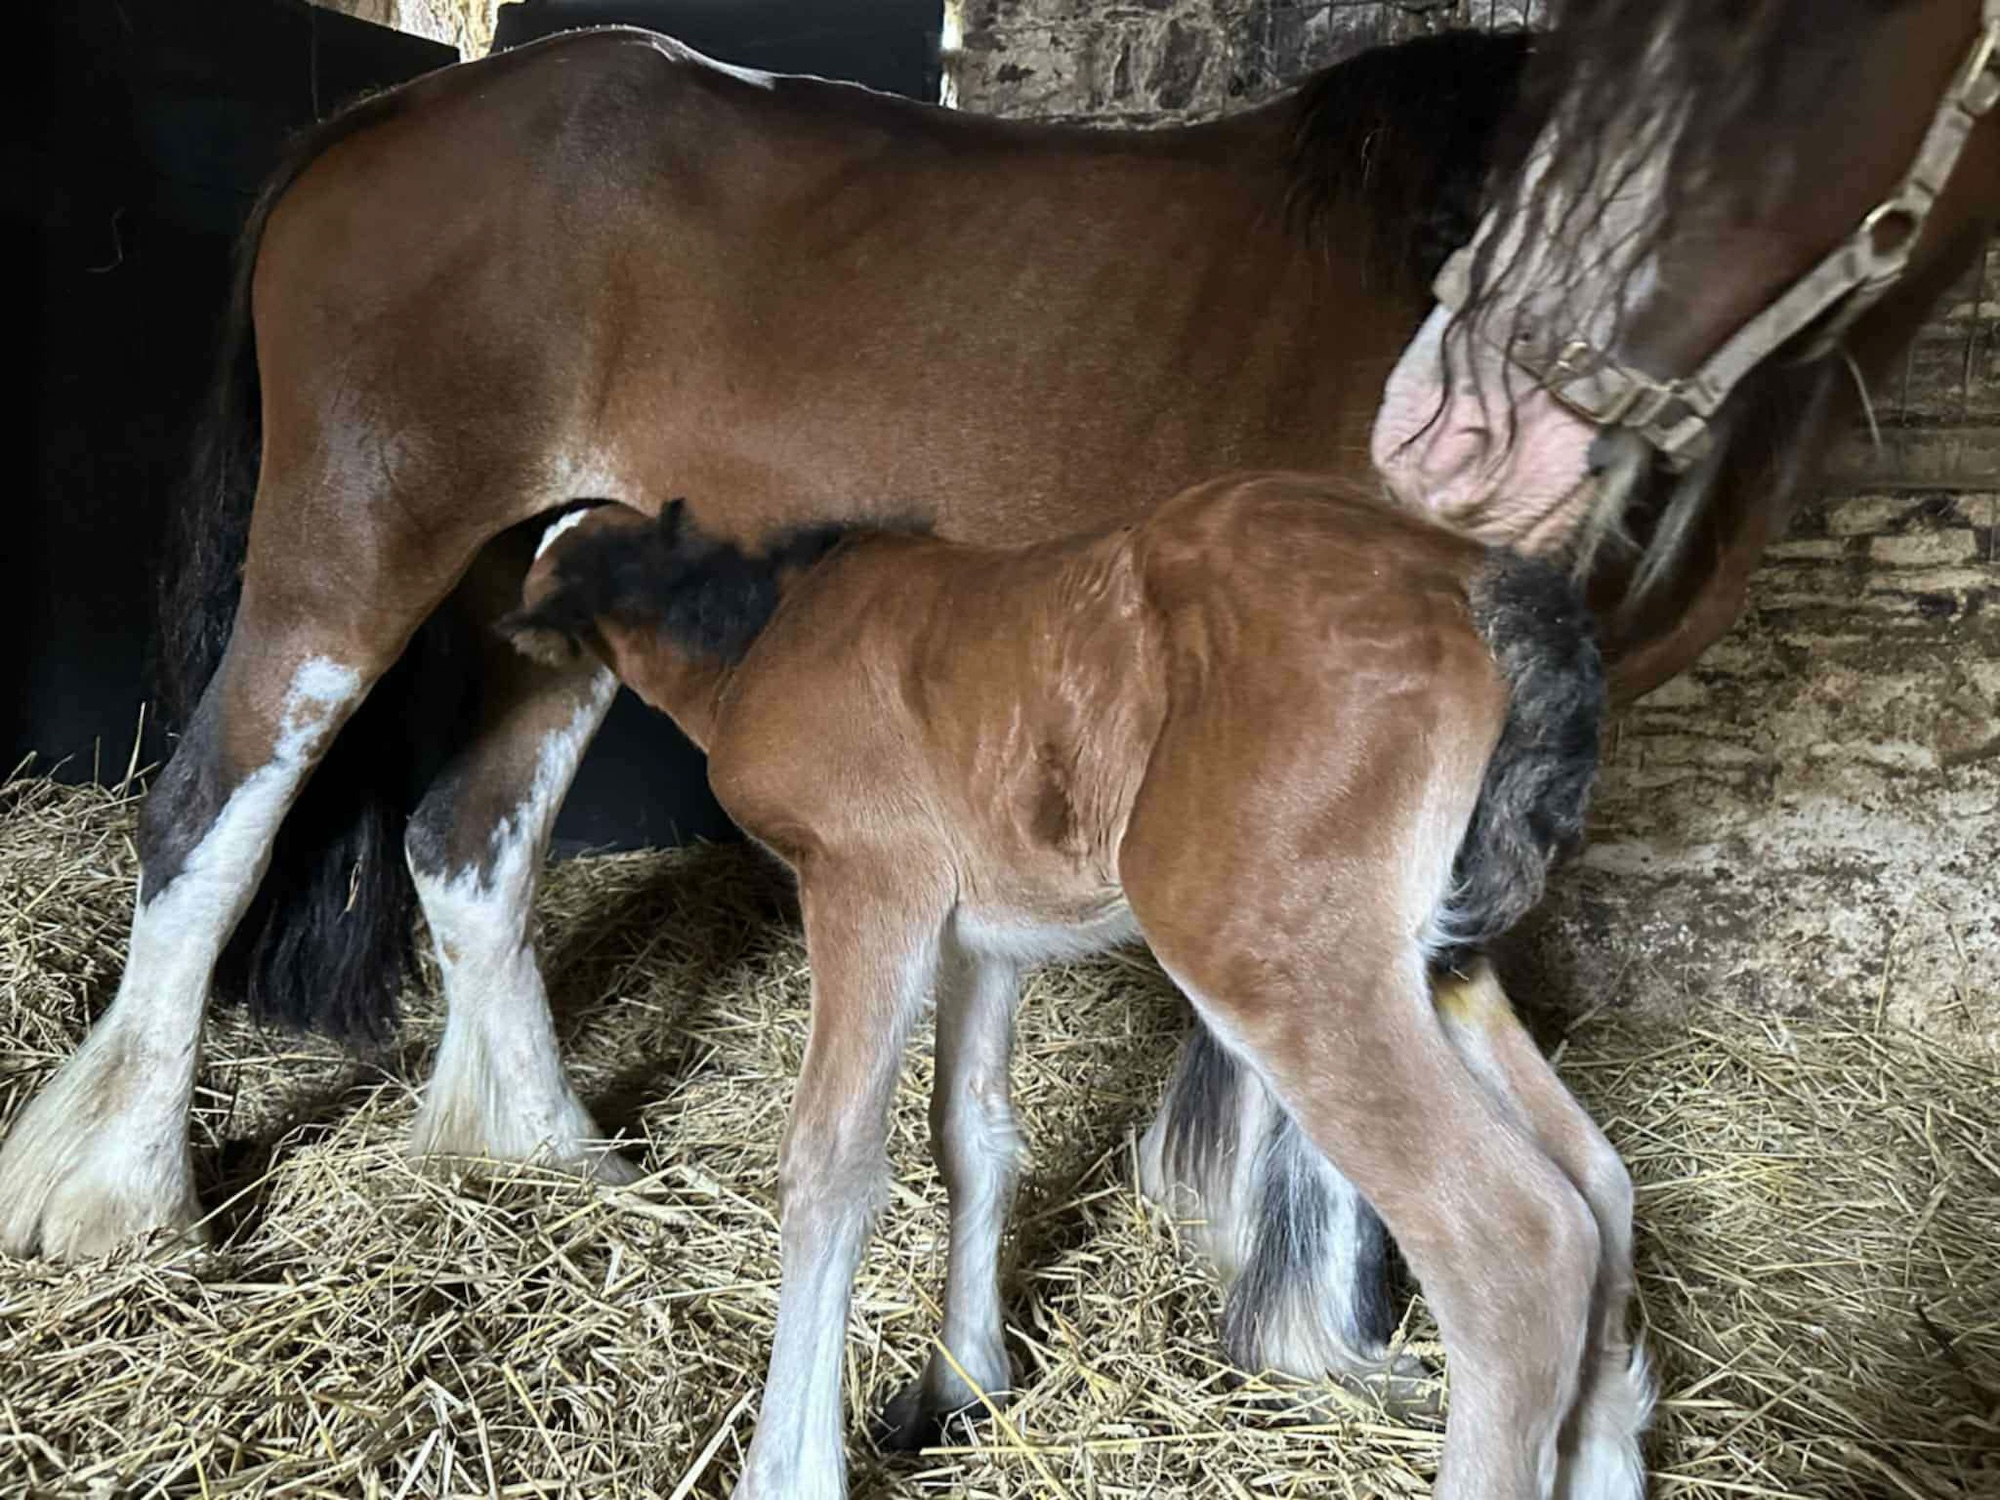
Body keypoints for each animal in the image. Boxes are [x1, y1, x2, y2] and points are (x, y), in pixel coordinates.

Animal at [502, 481, 1632, 1500]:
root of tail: (1481, 591)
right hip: (1437, 962)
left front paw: (790, 1472)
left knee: (1516, 1243)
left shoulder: (870, 882)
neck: (760, 639)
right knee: (1597, 1181)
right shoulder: (979, 940)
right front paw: (959, 1389)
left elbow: (830, 1164)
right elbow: (972, 1137)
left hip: (1277, 961)